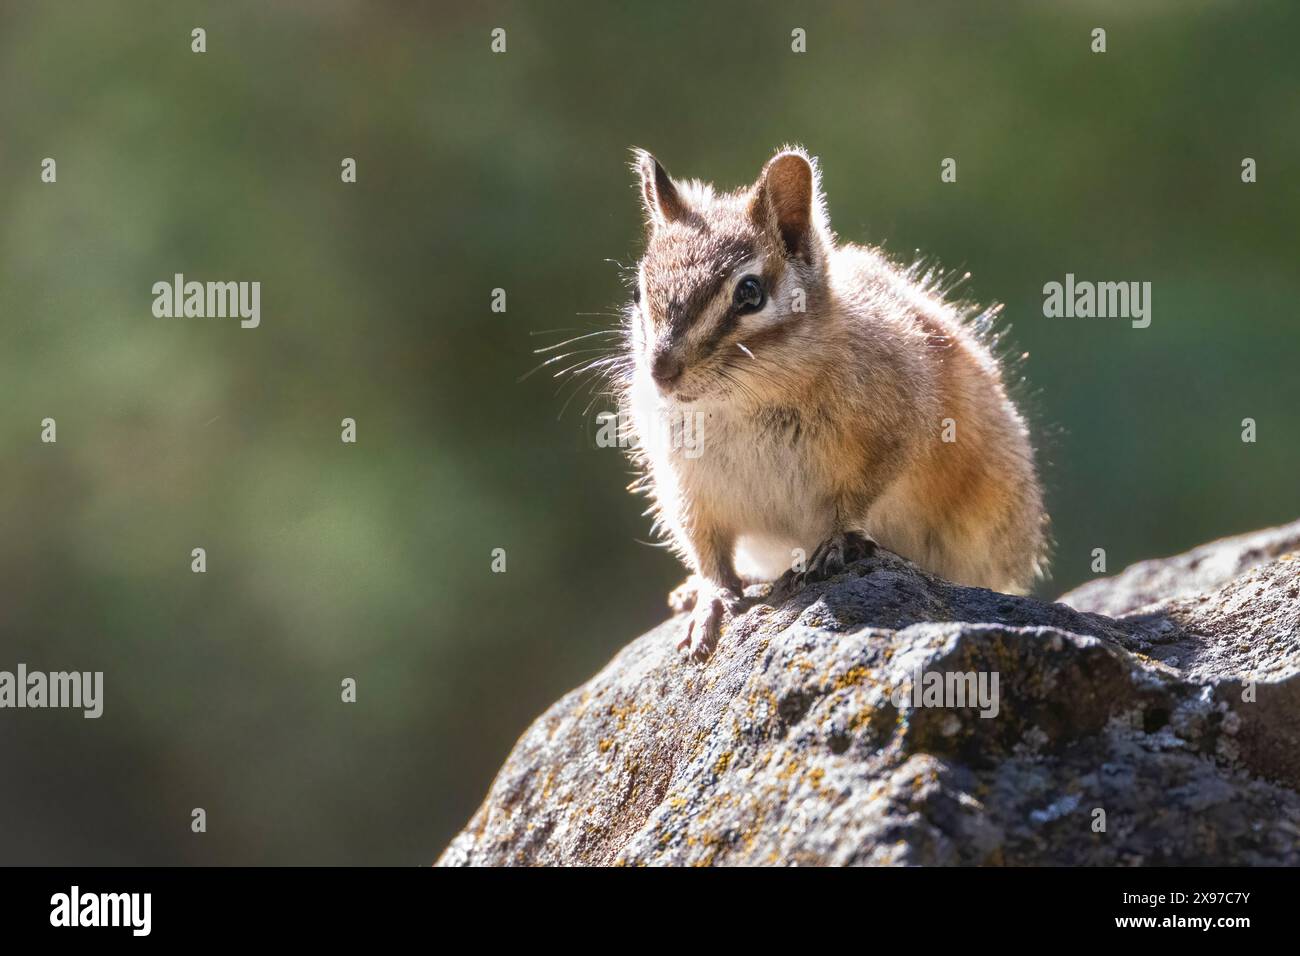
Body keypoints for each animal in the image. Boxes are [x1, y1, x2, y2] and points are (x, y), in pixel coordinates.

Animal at [617, 146, 1048, 659]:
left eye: (749, 293)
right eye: (638, 292)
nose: (661, 370)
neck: (741, 403)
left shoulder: (898, 433)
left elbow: (858, 496)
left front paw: (837, 541)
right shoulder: (686, 486)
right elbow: (708, 550)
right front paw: (711, 599)